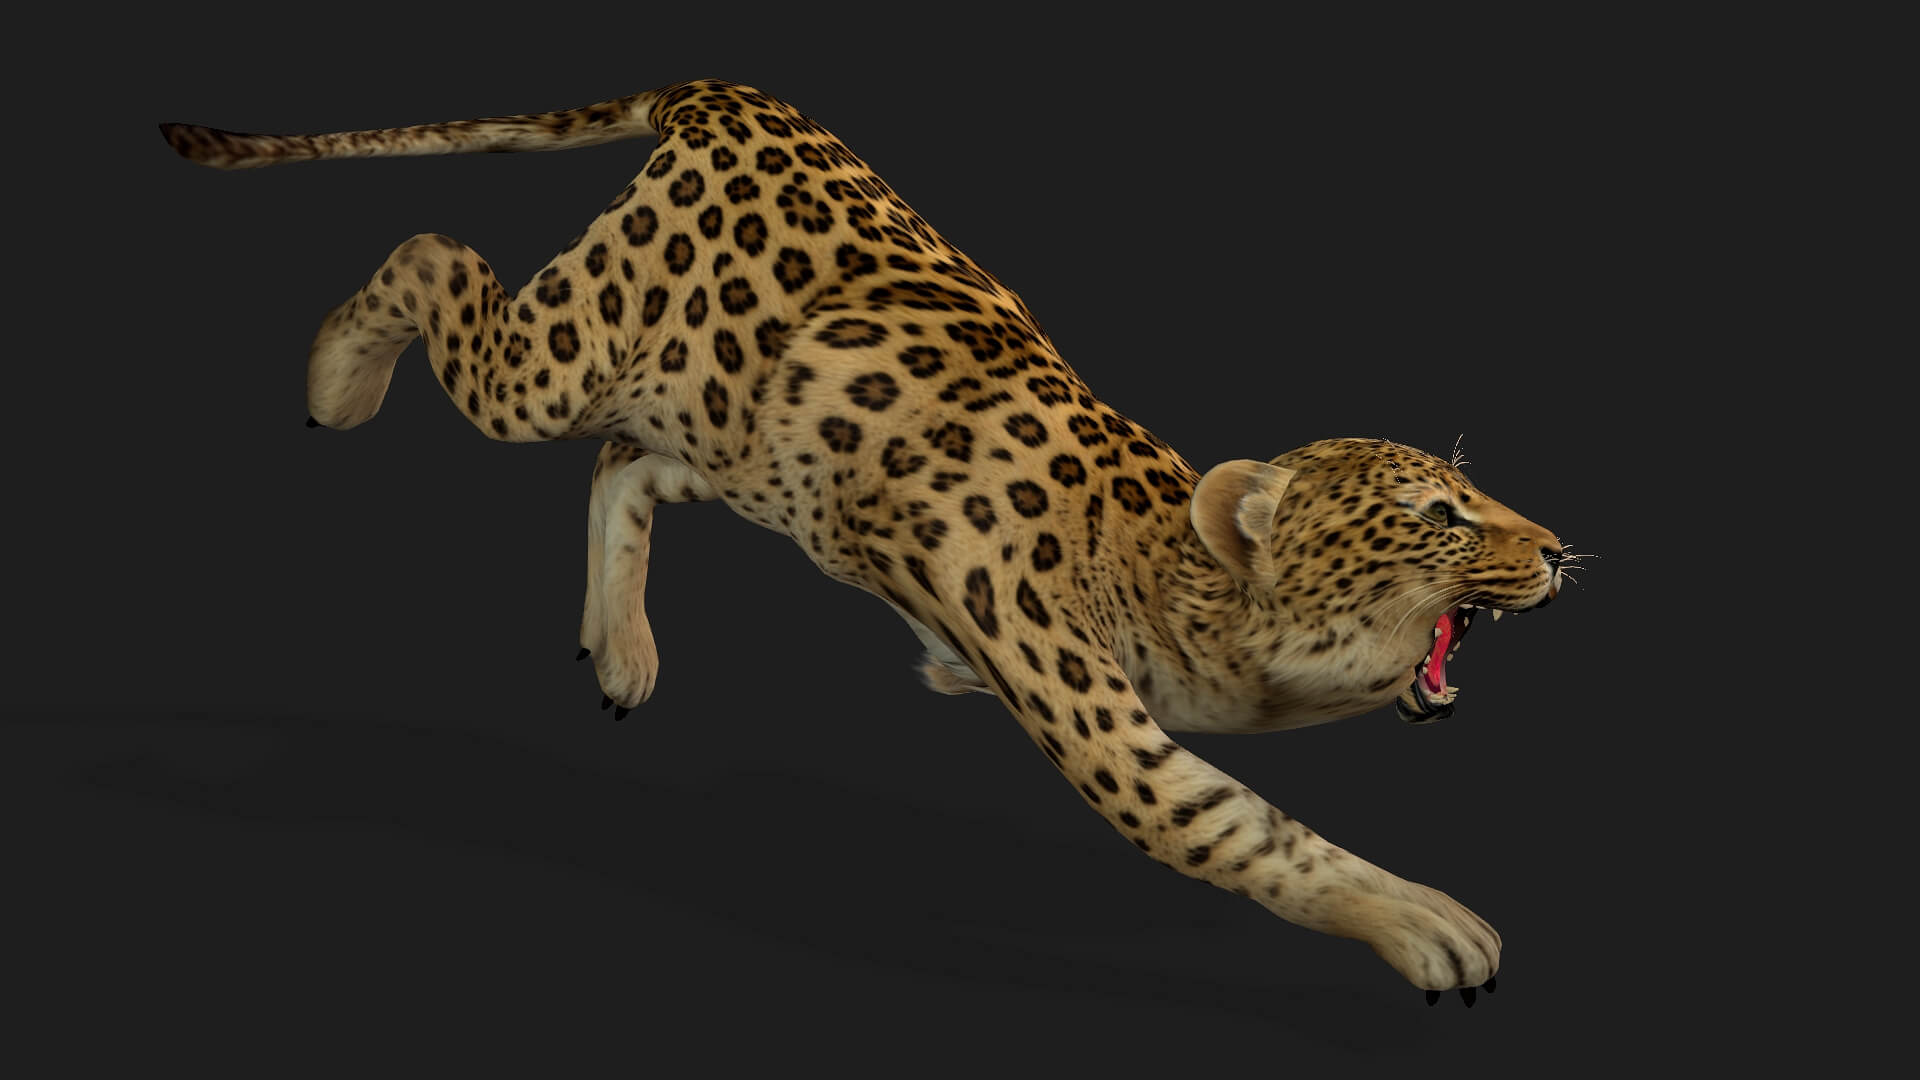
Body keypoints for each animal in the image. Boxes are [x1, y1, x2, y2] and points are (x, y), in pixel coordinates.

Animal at [161, 79, 1571, 1006]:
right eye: (1436, 514)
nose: (1559, 549)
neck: (1190, 594)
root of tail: (731, 96)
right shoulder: (1098, 721)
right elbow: (1246, 830)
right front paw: (1427, 922)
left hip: (734, 430)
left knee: (622, 464)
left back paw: (622, 651)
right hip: (565, 357)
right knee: (439, 255)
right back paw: (335, 379)